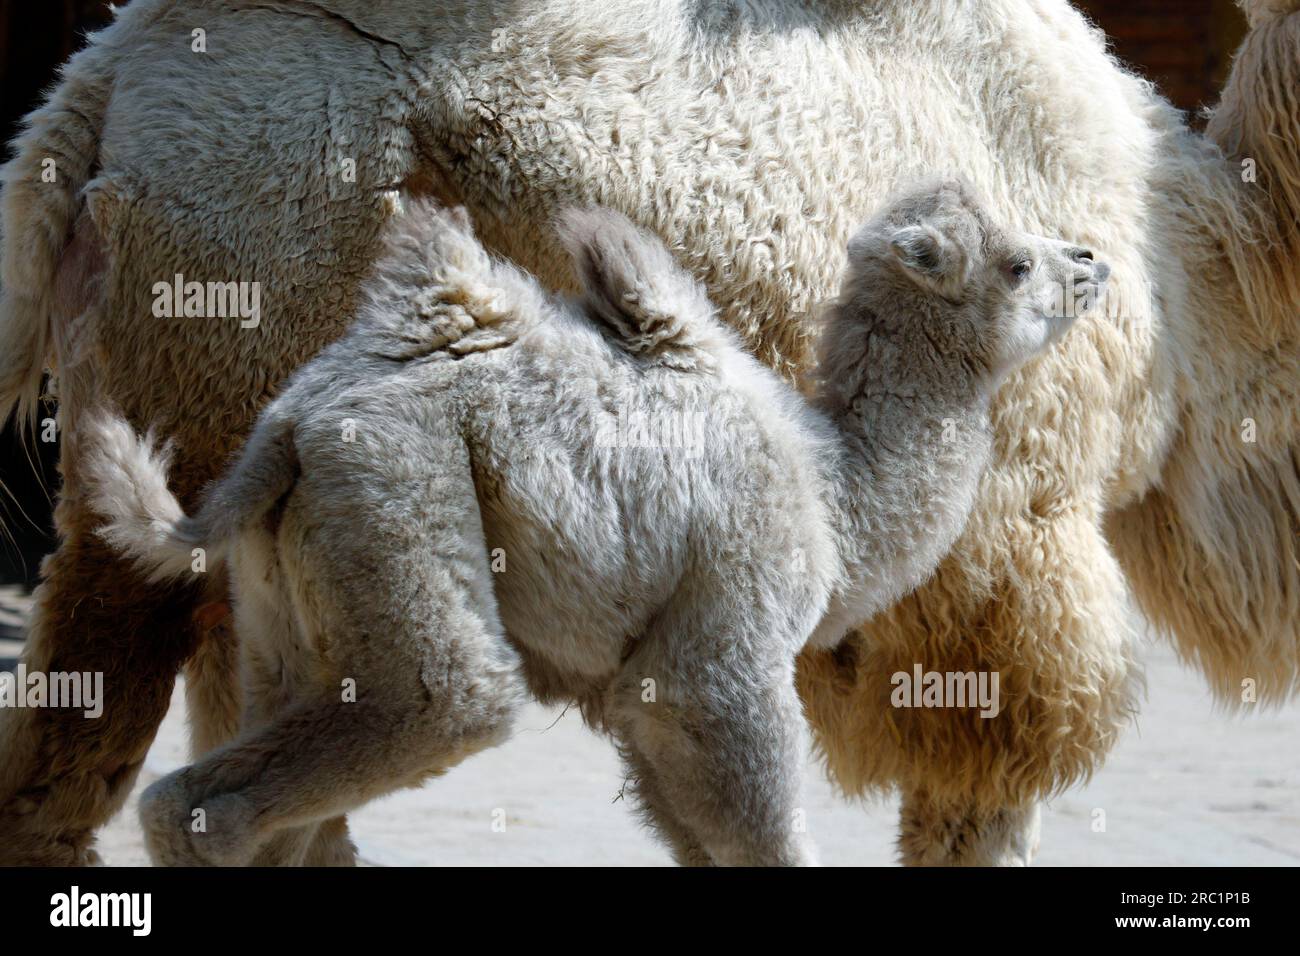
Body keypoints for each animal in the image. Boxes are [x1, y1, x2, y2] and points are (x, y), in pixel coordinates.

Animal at [0, 0, 1296, 865]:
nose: (1083, 262)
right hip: (213, 337)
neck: (1186, 256)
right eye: (1020, 263)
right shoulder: (1022, 531)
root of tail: (96, 84)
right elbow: (981, 785)